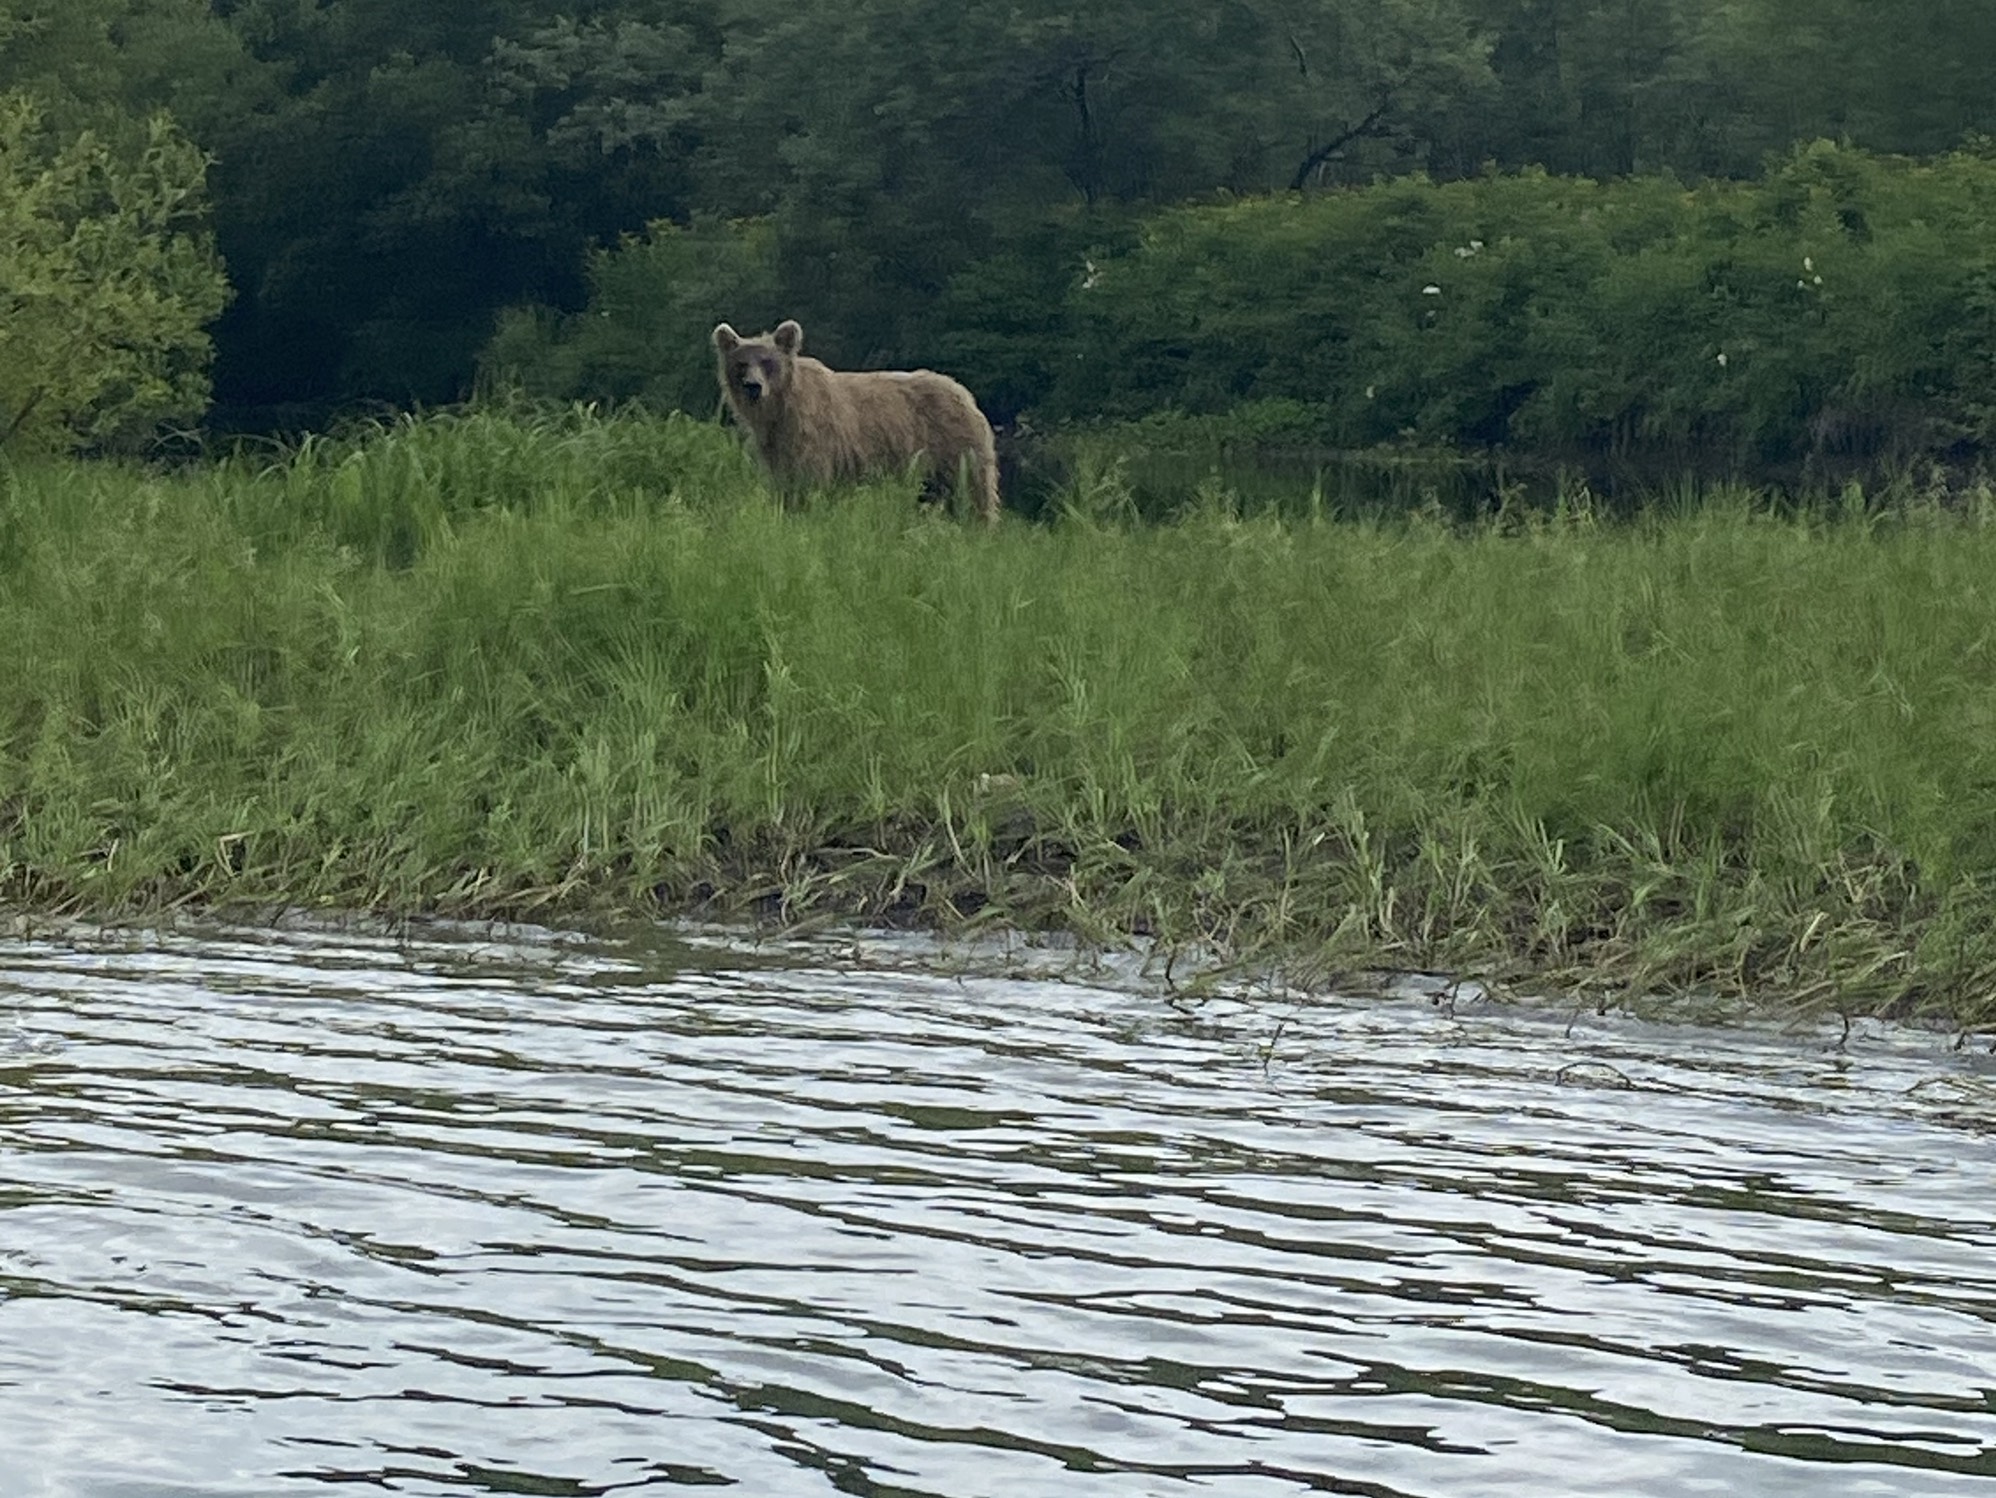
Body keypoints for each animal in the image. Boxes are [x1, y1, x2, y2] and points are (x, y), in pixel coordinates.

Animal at [714, 319, 998, 522]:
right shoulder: (775, 445)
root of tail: (964, 393)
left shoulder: (812, 437)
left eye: (767, 361)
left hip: (954, 445)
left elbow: (810, 482)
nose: (753, 386)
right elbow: (785, 483)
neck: (778, 411)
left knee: (971, 492)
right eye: (741, 363)